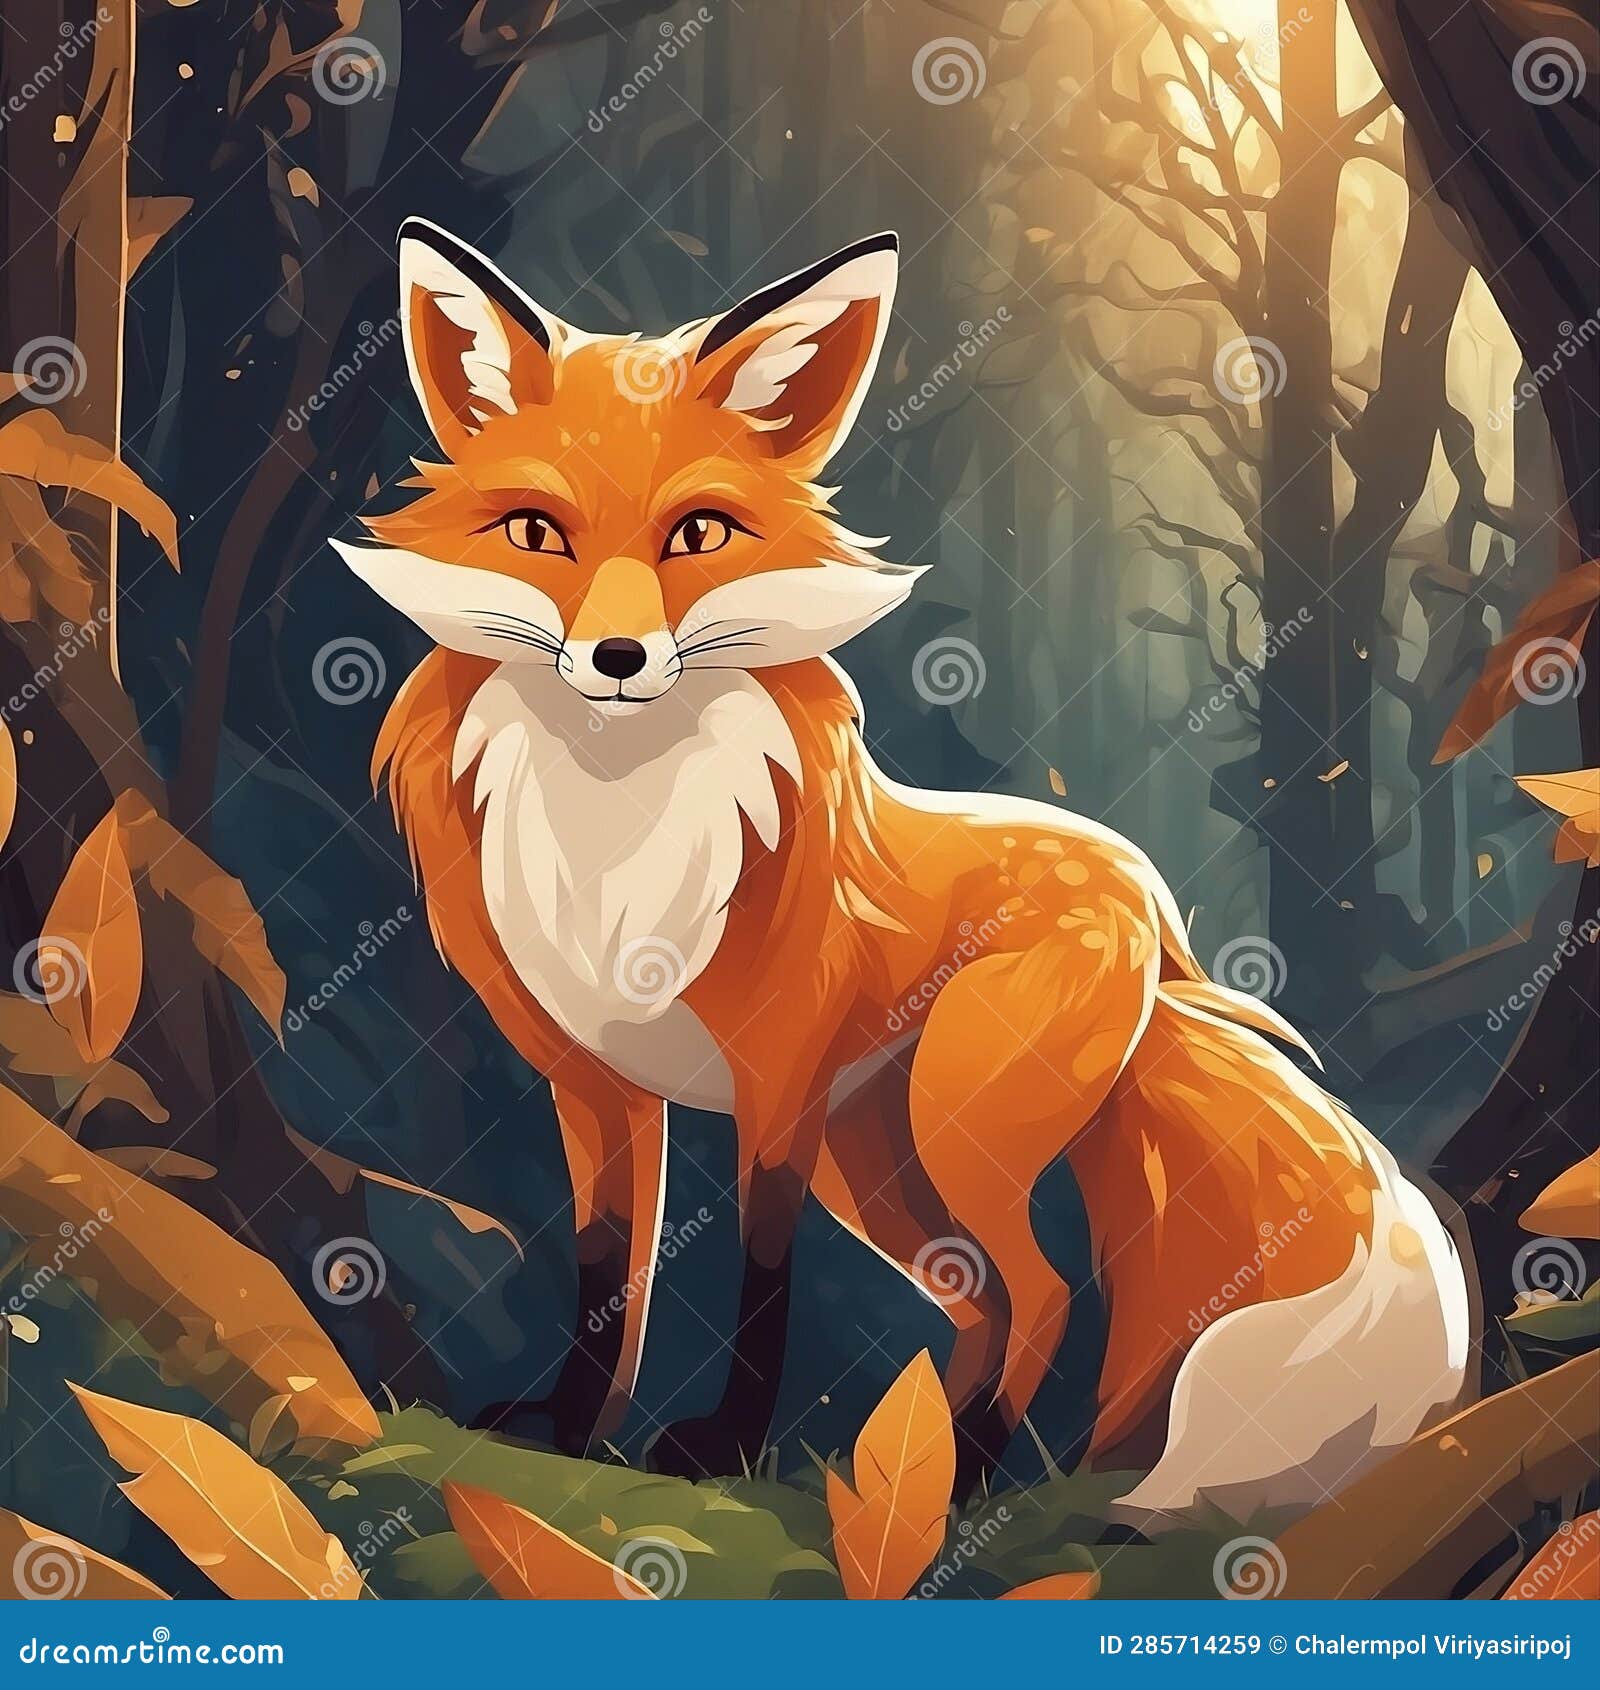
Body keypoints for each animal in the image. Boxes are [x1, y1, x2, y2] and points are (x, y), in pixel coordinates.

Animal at [337, 218, 1471, 1518]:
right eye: (535, 533)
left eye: (697, 534)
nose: (617, 656)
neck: (615, 819)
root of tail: (1142, 885)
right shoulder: (592, 1086)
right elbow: (604, 1273)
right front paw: (573, 1431)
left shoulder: (775, 1083)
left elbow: (761, 1278)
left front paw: (722, 1444)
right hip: (879, 1159)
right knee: (984, 1301)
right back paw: (925, 1468)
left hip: (948, 1120)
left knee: (1043, 1290)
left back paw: (970, 1478)